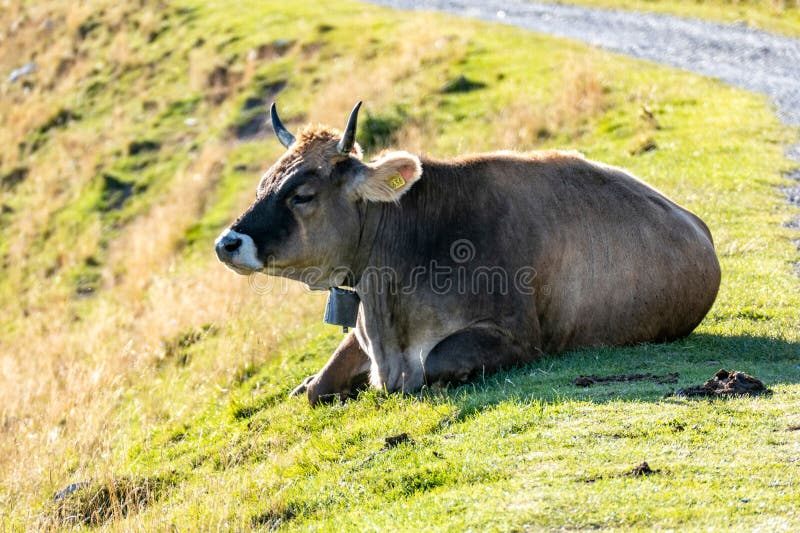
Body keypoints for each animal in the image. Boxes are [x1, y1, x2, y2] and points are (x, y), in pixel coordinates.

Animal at [215, 102, 721, 405]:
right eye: (262, 185)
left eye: (302, 195)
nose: (226, 243)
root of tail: (696, 223)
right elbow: (317, 388)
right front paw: (307, 382)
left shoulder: (516, 336)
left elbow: (437, 362)